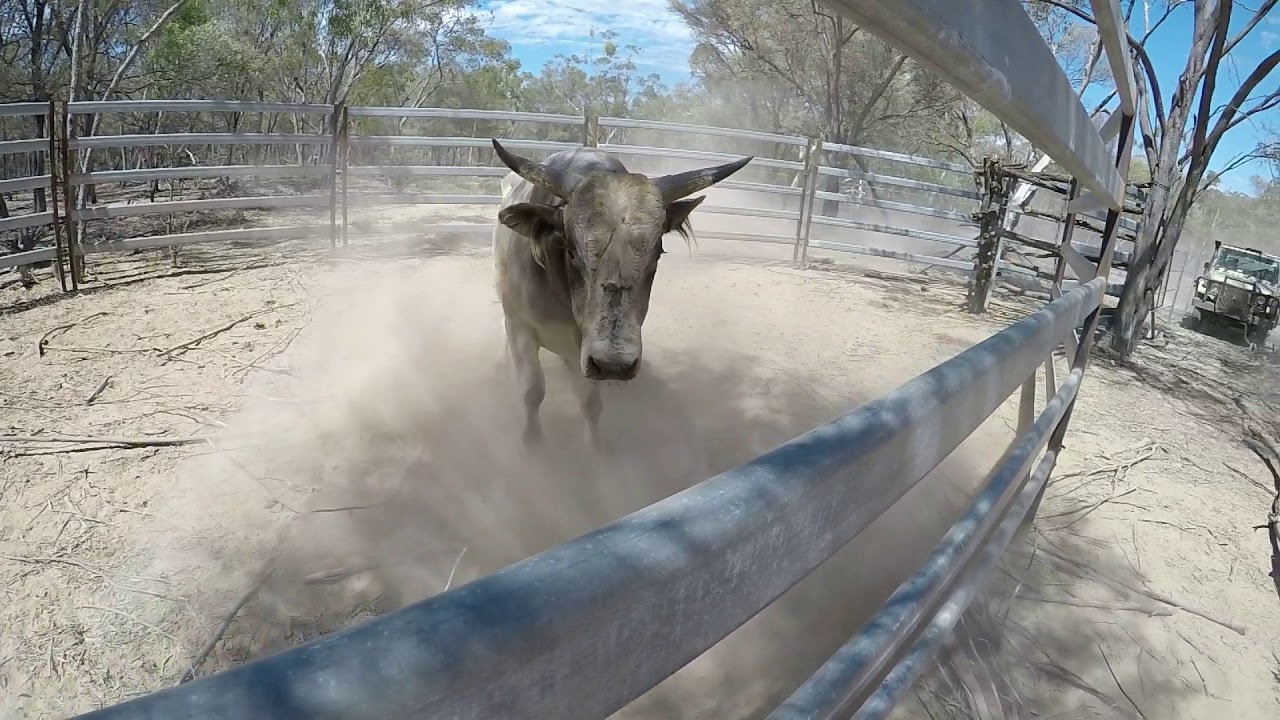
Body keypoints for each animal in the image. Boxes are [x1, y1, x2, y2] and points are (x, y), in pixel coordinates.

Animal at [489, 138, 753, 451]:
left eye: (657, 253)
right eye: (571, 251)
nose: (613, 364)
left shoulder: (584, 349)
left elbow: (590, 402)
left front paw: (595, 447)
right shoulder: (520, 327)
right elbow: (532, 390)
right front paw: (532, 441)